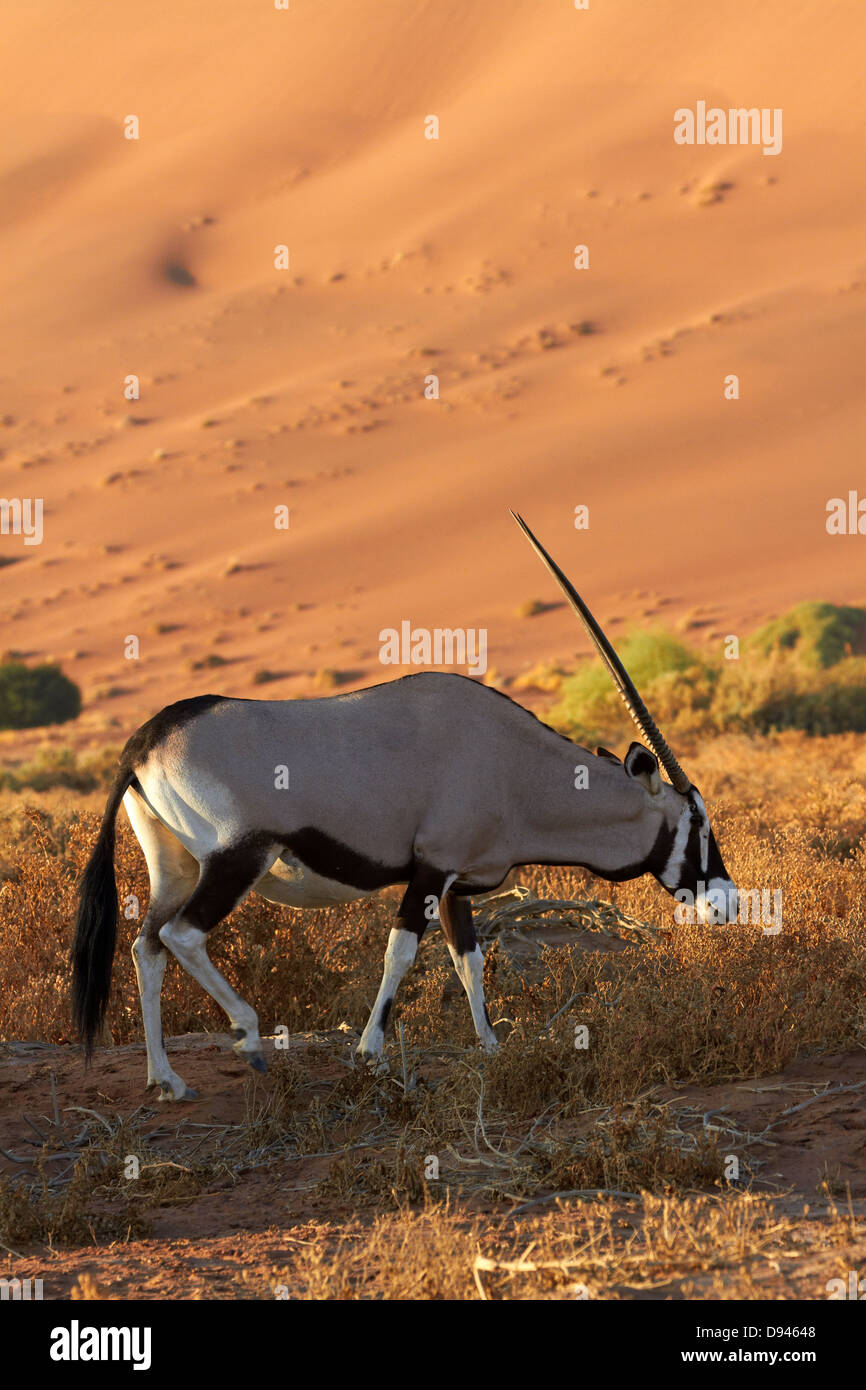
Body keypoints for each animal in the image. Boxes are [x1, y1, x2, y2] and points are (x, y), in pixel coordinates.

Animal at [72, 513, 738, 1100]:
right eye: (697, 823)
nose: (728, 902)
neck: (513, 763)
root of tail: (147, 739)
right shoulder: (430, 868)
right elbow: (402, 952)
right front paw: (369, 1053)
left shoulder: (457, 883)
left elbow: (468, 960)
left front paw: (491, 1048)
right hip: (238, 859)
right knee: (182, 936)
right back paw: (250, 1038)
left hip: (176, 866)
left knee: (148, 946)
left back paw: (167, 1080)